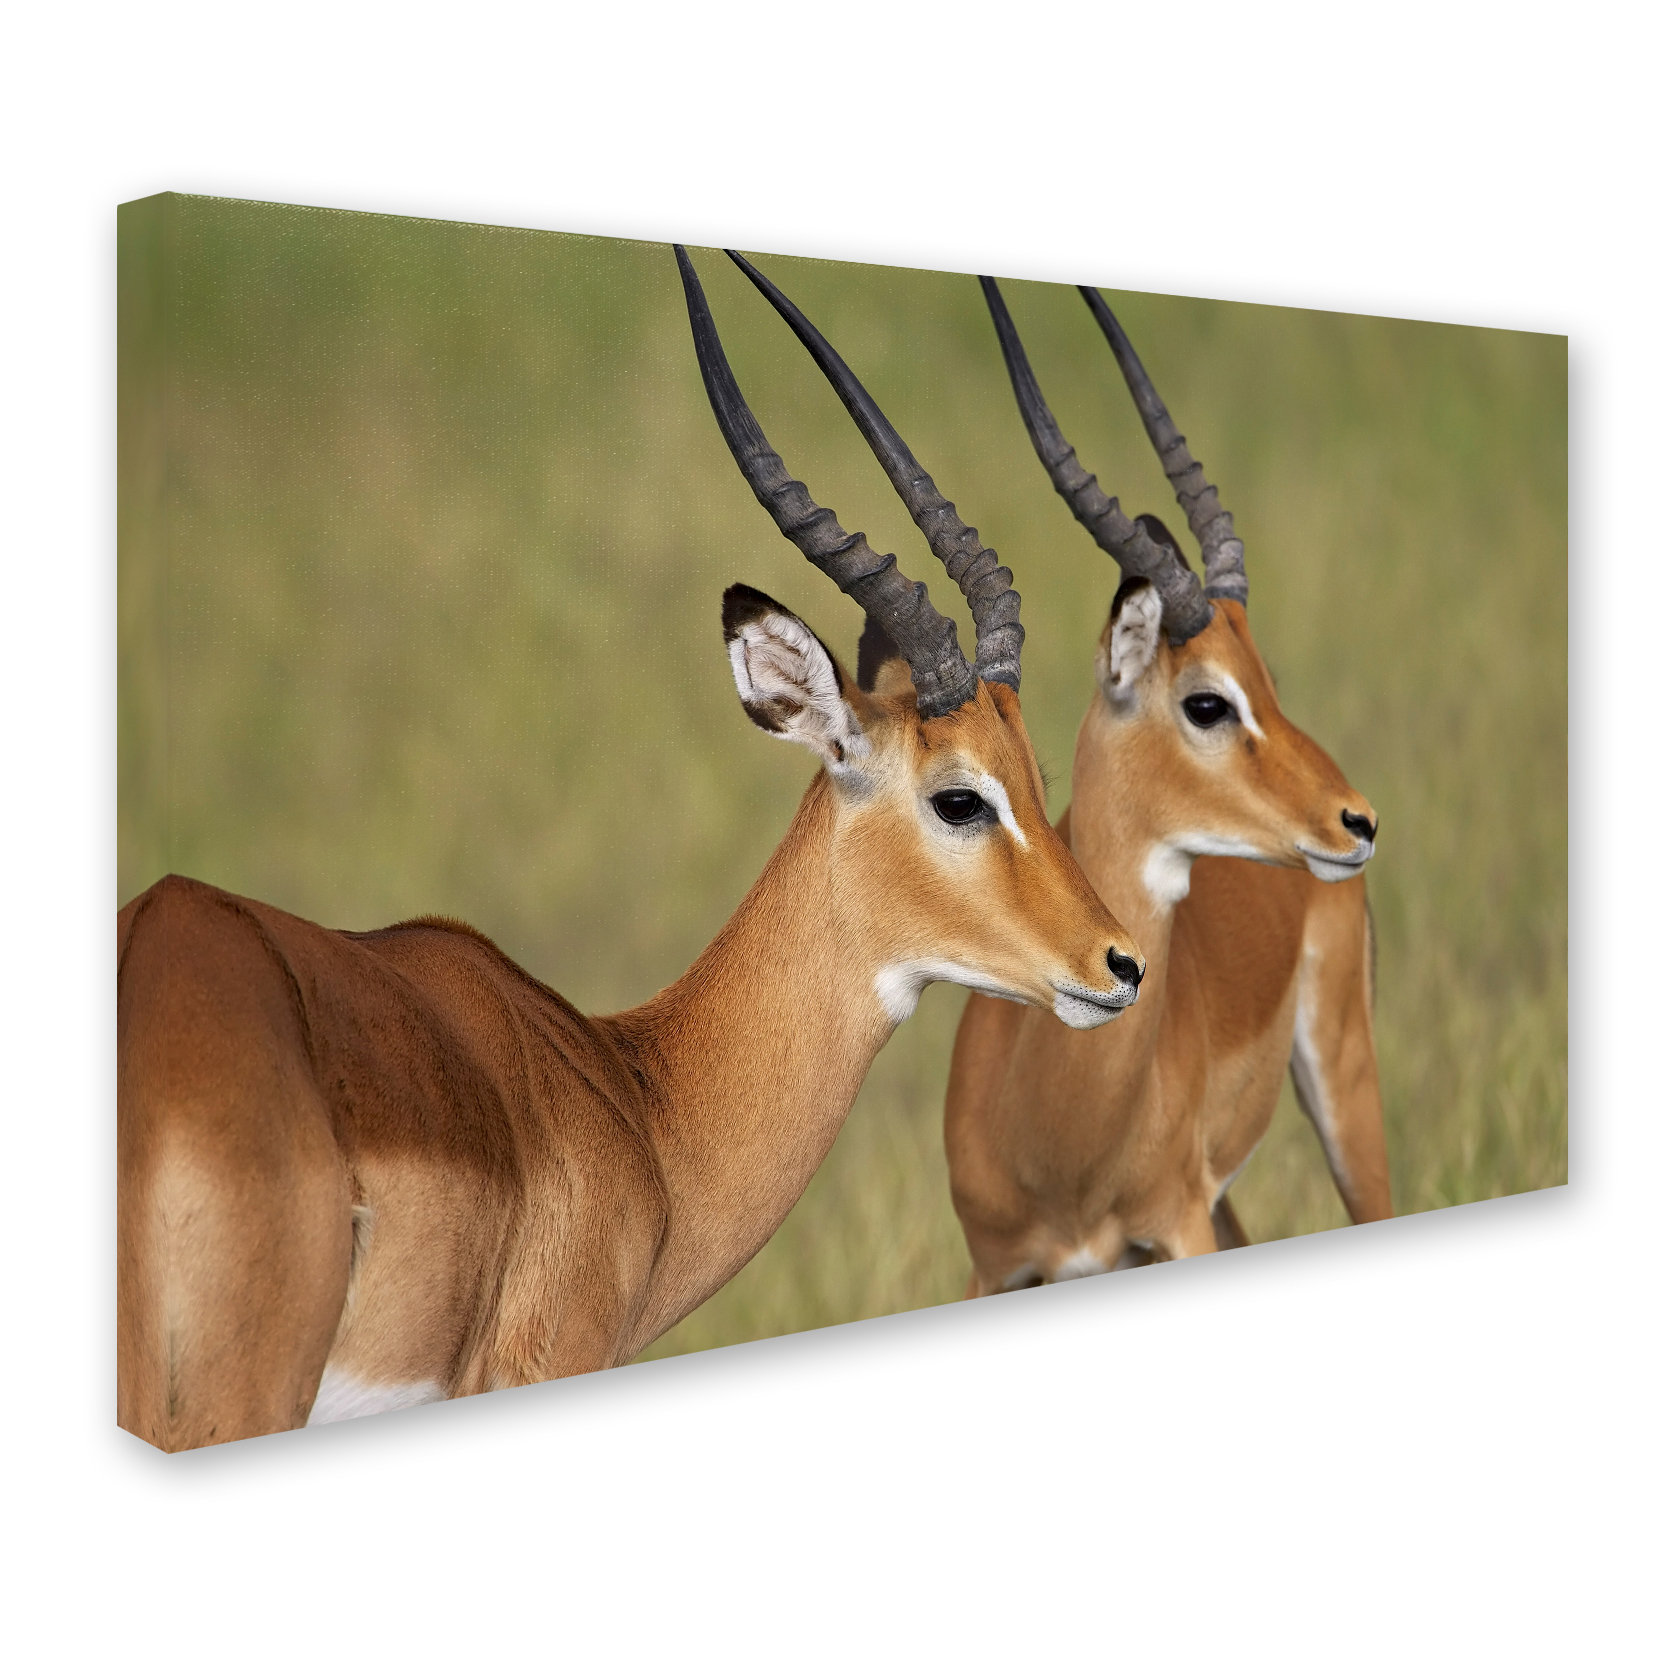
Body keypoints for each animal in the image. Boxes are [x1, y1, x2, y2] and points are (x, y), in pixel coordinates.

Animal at [943, 279, 1390, 1291]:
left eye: (1266, 679)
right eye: (1208, 702)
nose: (1357, 821)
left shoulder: (1175, 1224)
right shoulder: (996, 1267)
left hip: (1343, 1091)